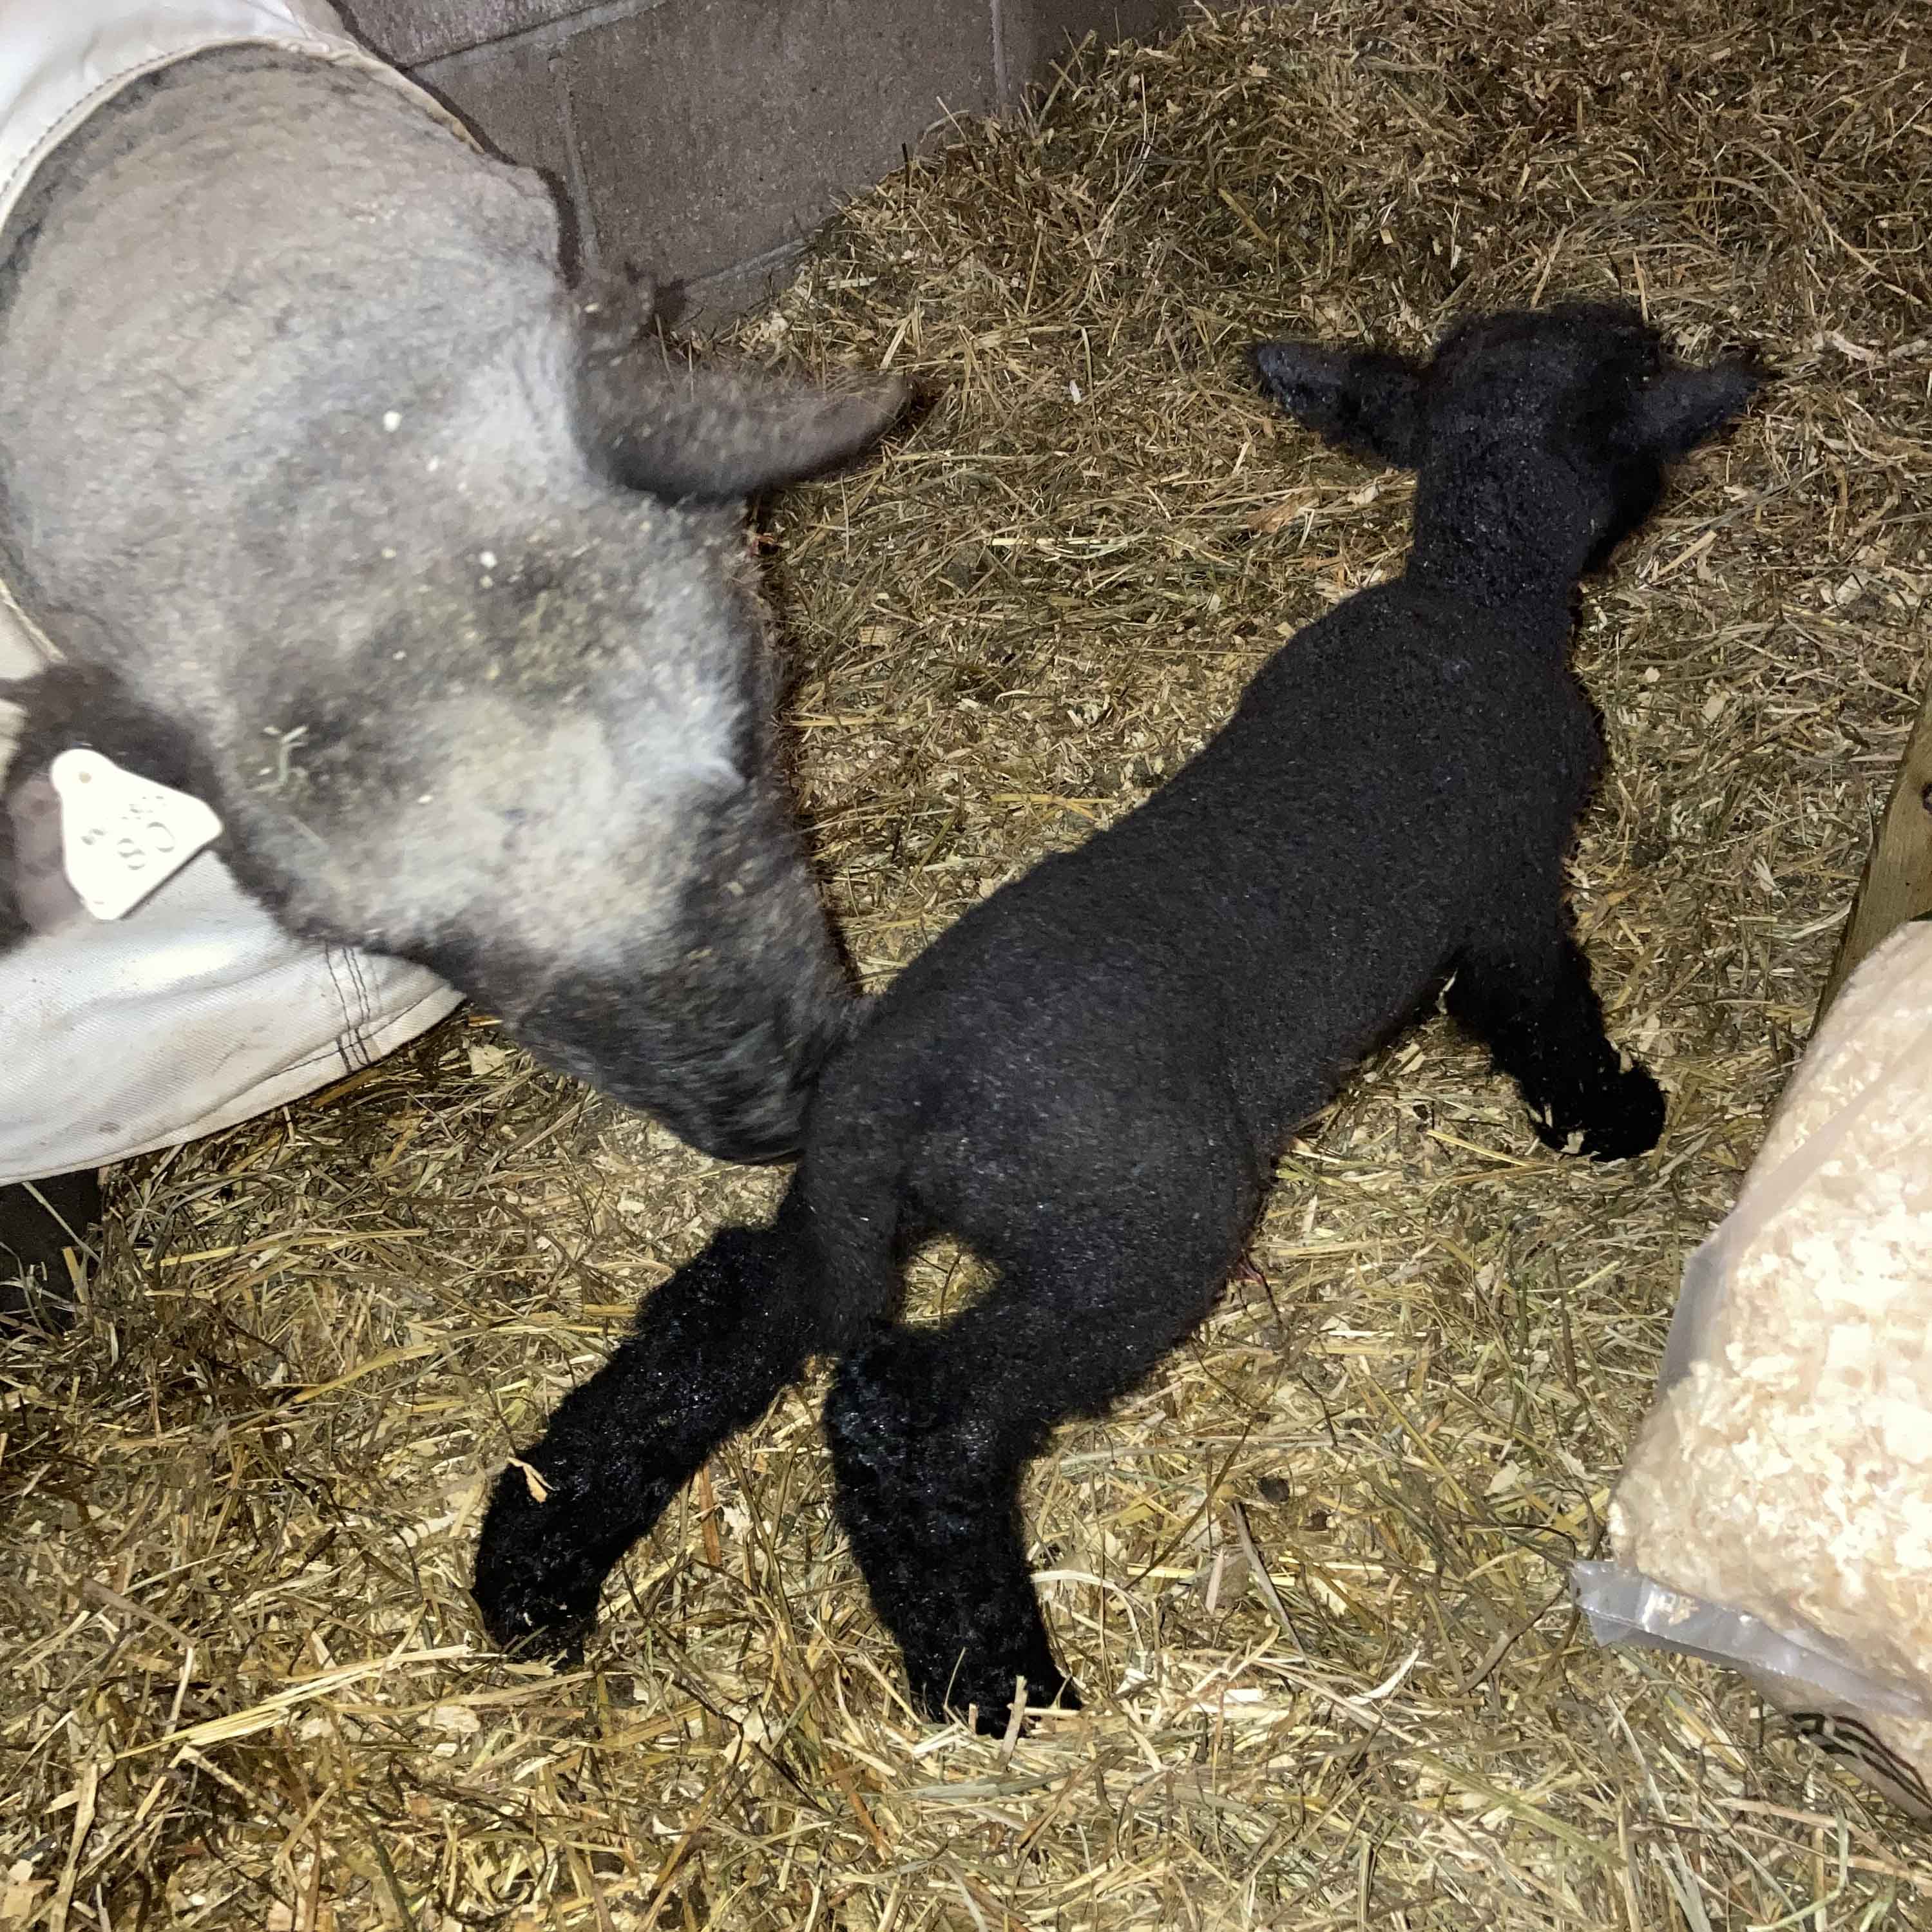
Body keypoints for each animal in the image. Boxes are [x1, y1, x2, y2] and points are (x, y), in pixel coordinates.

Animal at [471, 302, 1764, 1732]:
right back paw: (995, 1677)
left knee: (725, 1307)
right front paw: (1611, 1114)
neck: (1467, 589)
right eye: (1629, 378)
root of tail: (895, 1102)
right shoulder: (1511, 888)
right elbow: (1541, 1009)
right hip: (1132, 1239)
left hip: (846, 1215)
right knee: (909, 1410)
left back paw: (533, 1570)